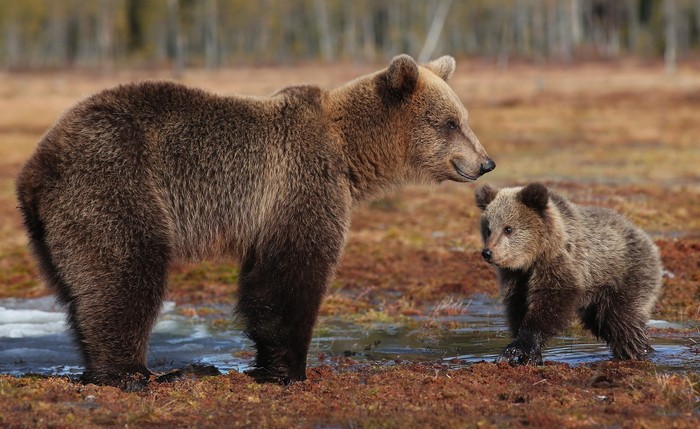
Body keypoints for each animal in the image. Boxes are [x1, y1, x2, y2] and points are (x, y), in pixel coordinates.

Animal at [16, 54, 495, 389]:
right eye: (449, 122)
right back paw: (137, 373)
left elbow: (263, 281)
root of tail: (35, 167)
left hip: (53, 229)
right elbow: (292, 273)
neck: (351, 155)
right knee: (126, 270)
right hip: (114, 183)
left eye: (465, 119)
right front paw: (289, 368)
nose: (485, 162)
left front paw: (268, 362)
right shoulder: (301, 182)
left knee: (82, 289)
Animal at [474, 182, 662, 365]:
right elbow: (518, 306)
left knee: (621, 319)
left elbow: (551, 303)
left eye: (508, 228)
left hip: (624, 274)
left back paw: (639, 350)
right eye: (488, 229)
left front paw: (517, 349)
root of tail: (646, 238)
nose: (488, 253)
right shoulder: (516, 278)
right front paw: (530, 355)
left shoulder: (561, 264)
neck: (536, 256)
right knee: (602, 321)